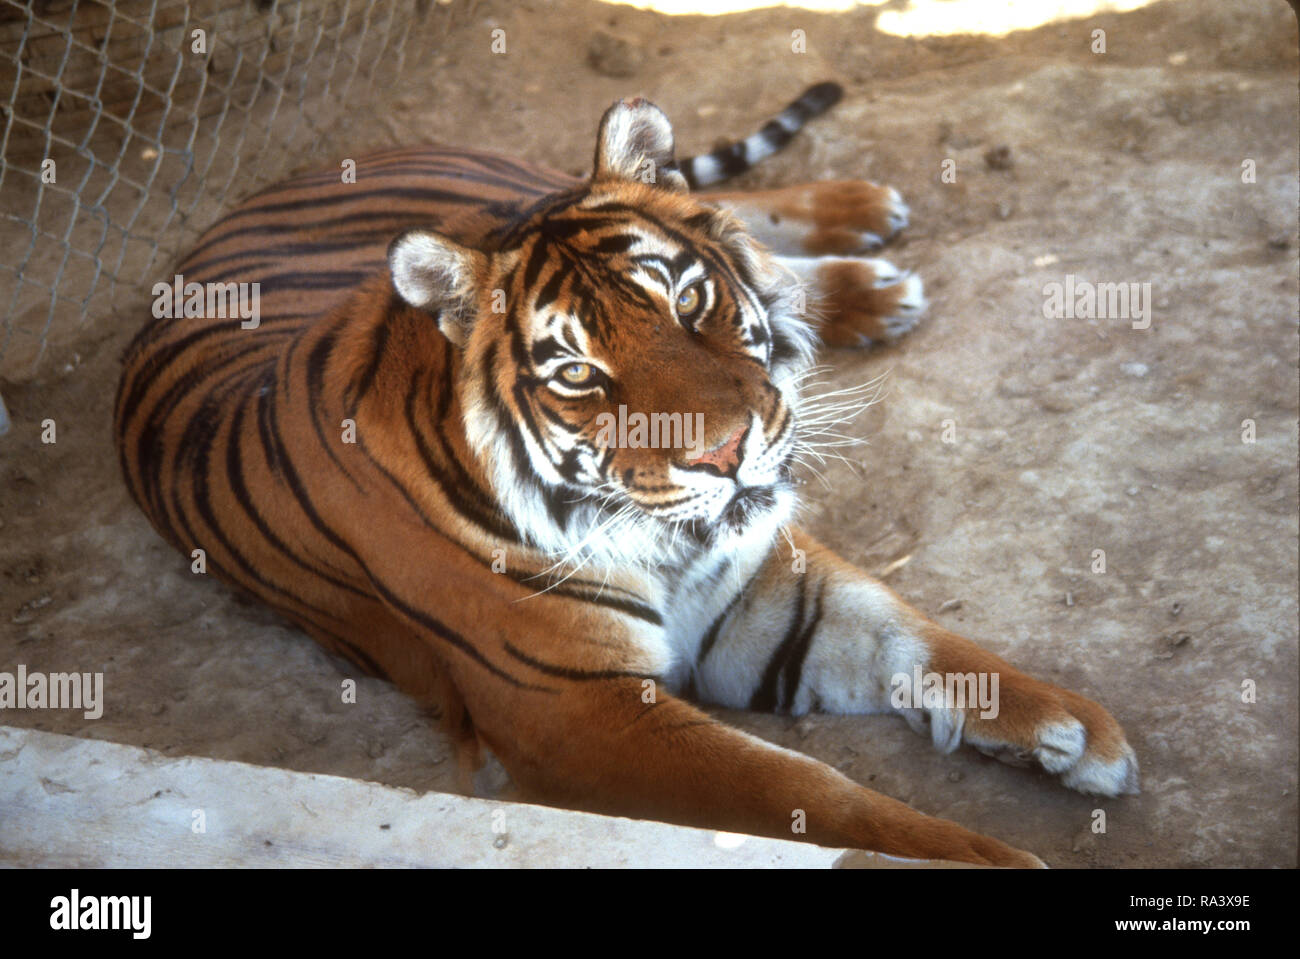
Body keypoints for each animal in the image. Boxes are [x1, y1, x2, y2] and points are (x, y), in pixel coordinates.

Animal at [114, 83, 1138, 867]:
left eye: (687, 300)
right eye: (576, 374)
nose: (724, 453)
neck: (663, 542)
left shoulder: (762, 594)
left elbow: (914, 635)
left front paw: (1070, 724)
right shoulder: (579, 712)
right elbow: (812, 790)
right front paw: (985, 854)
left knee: (734, 211)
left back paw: (861, 229)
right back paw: (873, 272)